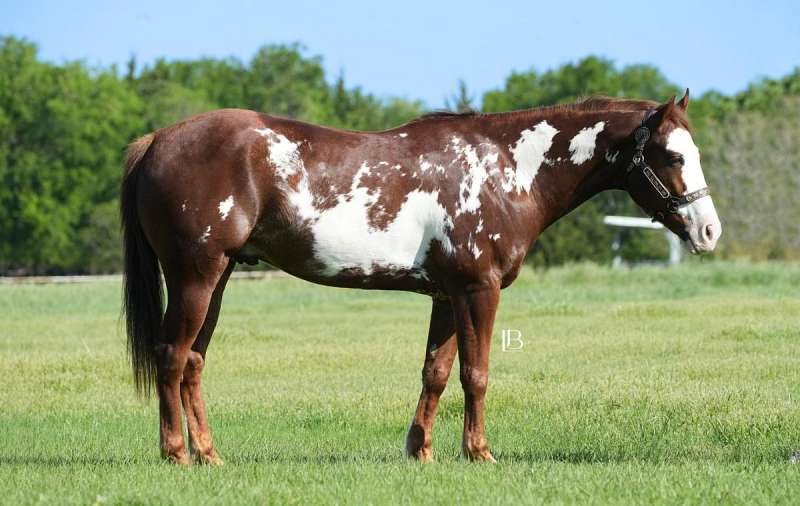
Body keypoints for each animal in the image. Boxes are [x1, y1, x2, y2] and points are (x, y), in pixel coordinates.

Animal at [120, 91, 721, 465]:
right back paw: (176, 453)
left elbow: (436, 373)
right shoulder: (479, 291)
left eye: (694, 152)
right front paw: (479, 451)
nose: (709, 231)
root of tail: (156, 140)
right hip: (195, 277)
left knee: (193, 362)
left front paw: (422, 451)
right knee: (171, 357)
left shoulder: (446, 295)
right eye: (671, 155)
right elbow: (476, 374)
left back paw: (209, 454)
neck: (504, 169)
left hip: (217, 278)